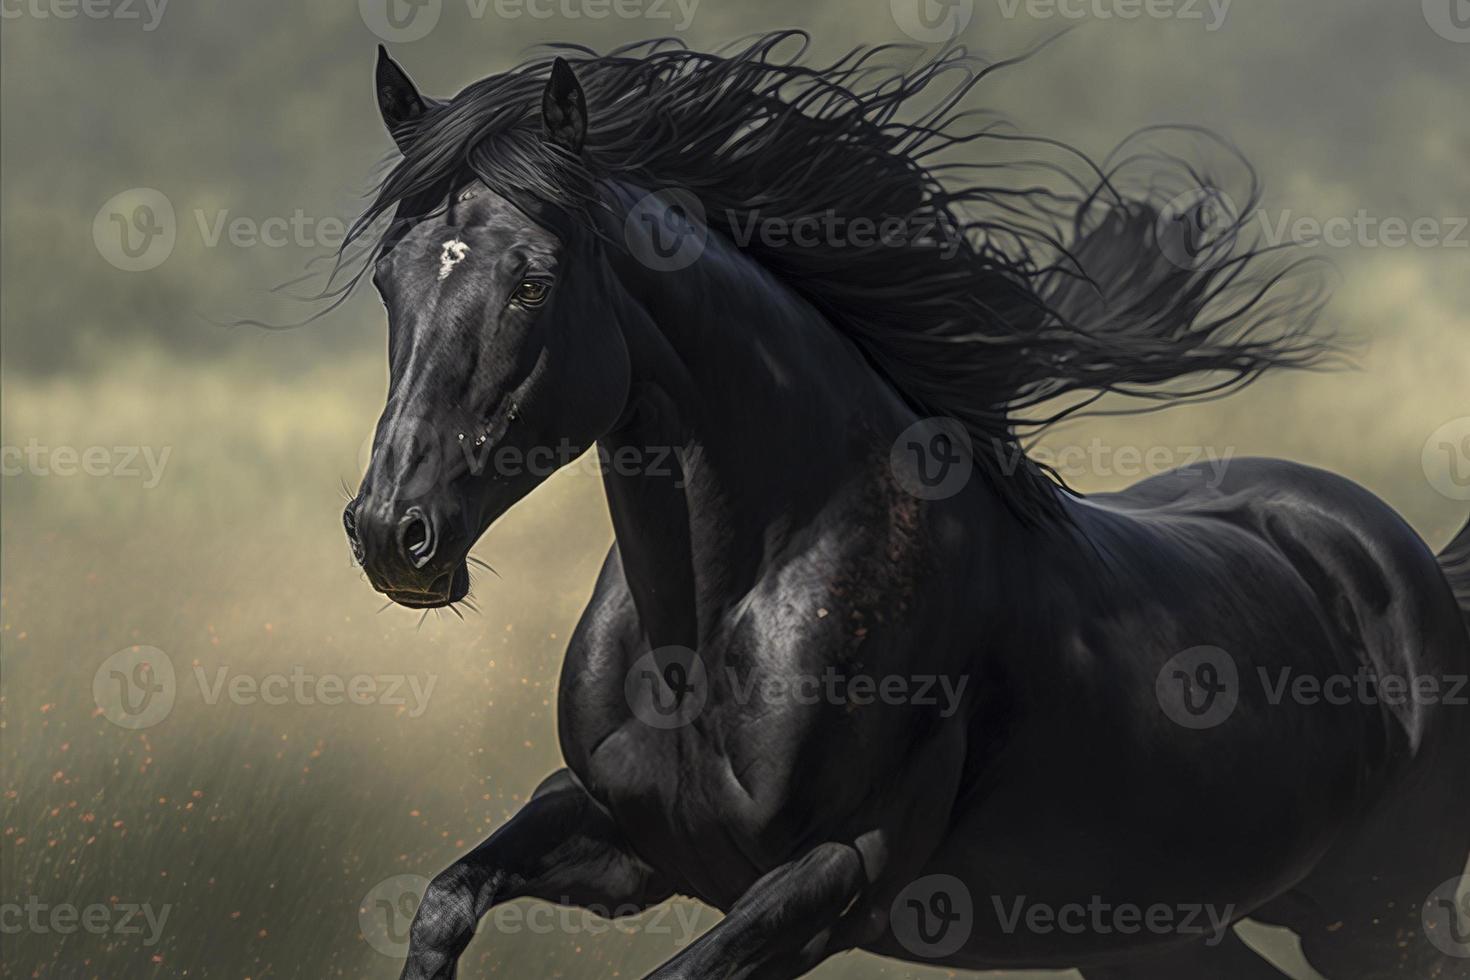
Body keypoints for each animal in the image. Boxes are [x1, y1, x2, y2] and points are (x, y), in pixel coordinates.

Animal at [339, 33, 1470, 979]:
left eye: (532, 281)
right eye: (391, 279)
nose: (393, 531)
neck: (724, 614)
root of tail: (1407, 566)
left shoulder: (841, 877)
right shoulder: (626, 838)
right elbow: (445, 900)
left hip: (1371, 916)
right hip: (1162, 930)